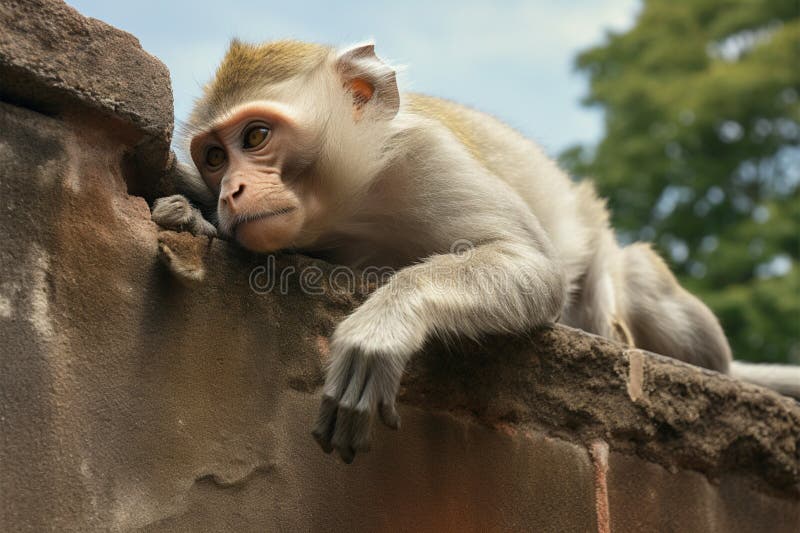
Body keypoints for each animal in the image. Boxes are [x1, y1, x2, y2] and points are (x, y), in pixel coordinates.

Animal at [151, 39, 800, 463]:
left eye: (256, 136)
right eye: (215, 158)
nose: (231, 192)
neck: (355, 202)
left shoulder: (427, 154)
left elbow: (532, 266)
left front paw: (384, 325)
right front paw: (192, 215)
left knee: (634, 273)